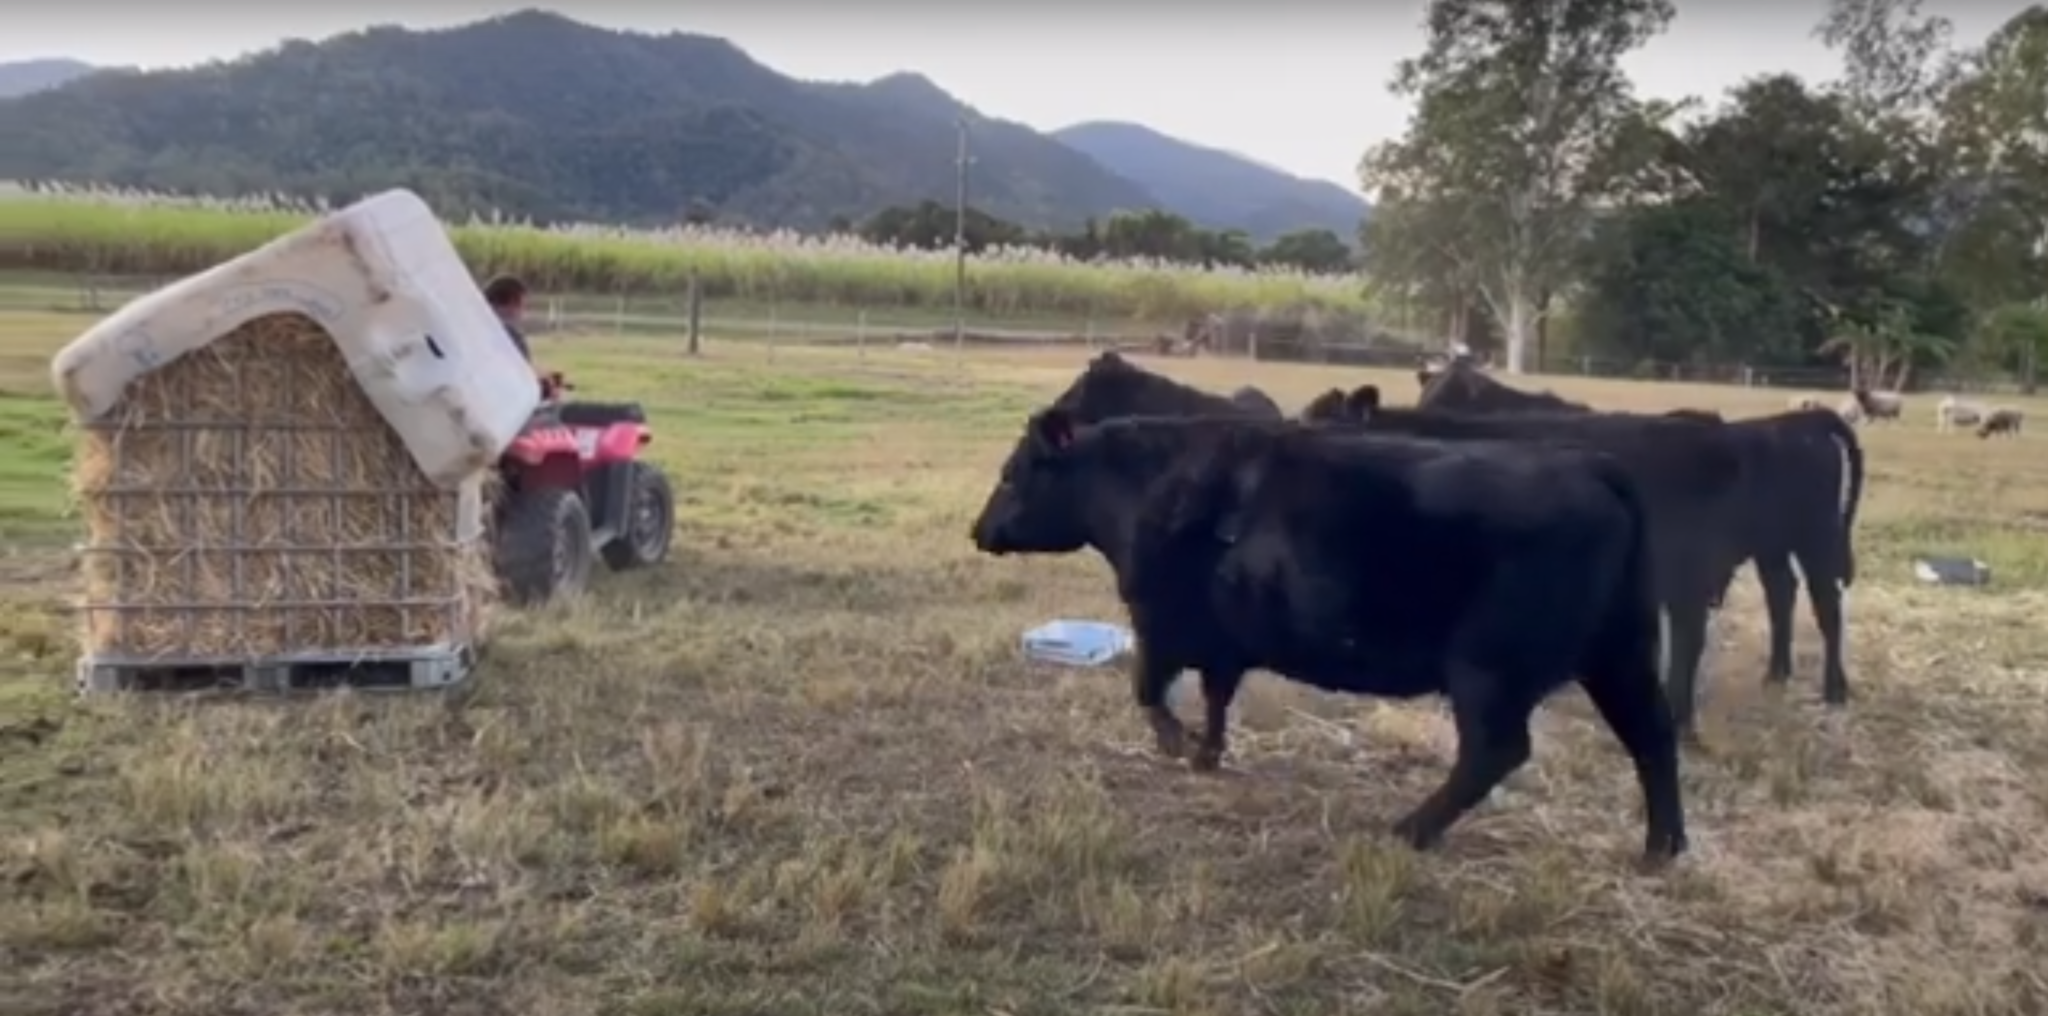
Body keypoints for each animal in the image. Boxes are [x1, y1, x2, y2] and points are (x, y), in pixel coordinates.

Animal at [968, 409, 1689, 866]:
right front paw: (1205, 753)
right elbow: (1216, 696)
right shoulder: (1220, 641)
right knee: (1652, 736)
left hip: (1491, 669)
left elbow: (1147, 689)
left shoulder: (1159, 621)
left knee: (1496, 751)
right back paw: (1662, 849)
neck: (1145, 483)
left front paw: (1174, 744)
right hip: (1619, 655)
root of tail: (1592, 465)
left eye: (1011, 472)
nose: (978, 531)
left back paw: (1410, 829)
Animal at [1402, 365, 1864, 707]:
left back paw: (1835, 690)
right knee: (1782, 594)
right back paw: (1776, 675)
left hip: (1817, 540)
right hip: (1773, 548)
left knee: (1827, 606)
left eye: (1448, 400)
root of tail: (1802, 422)